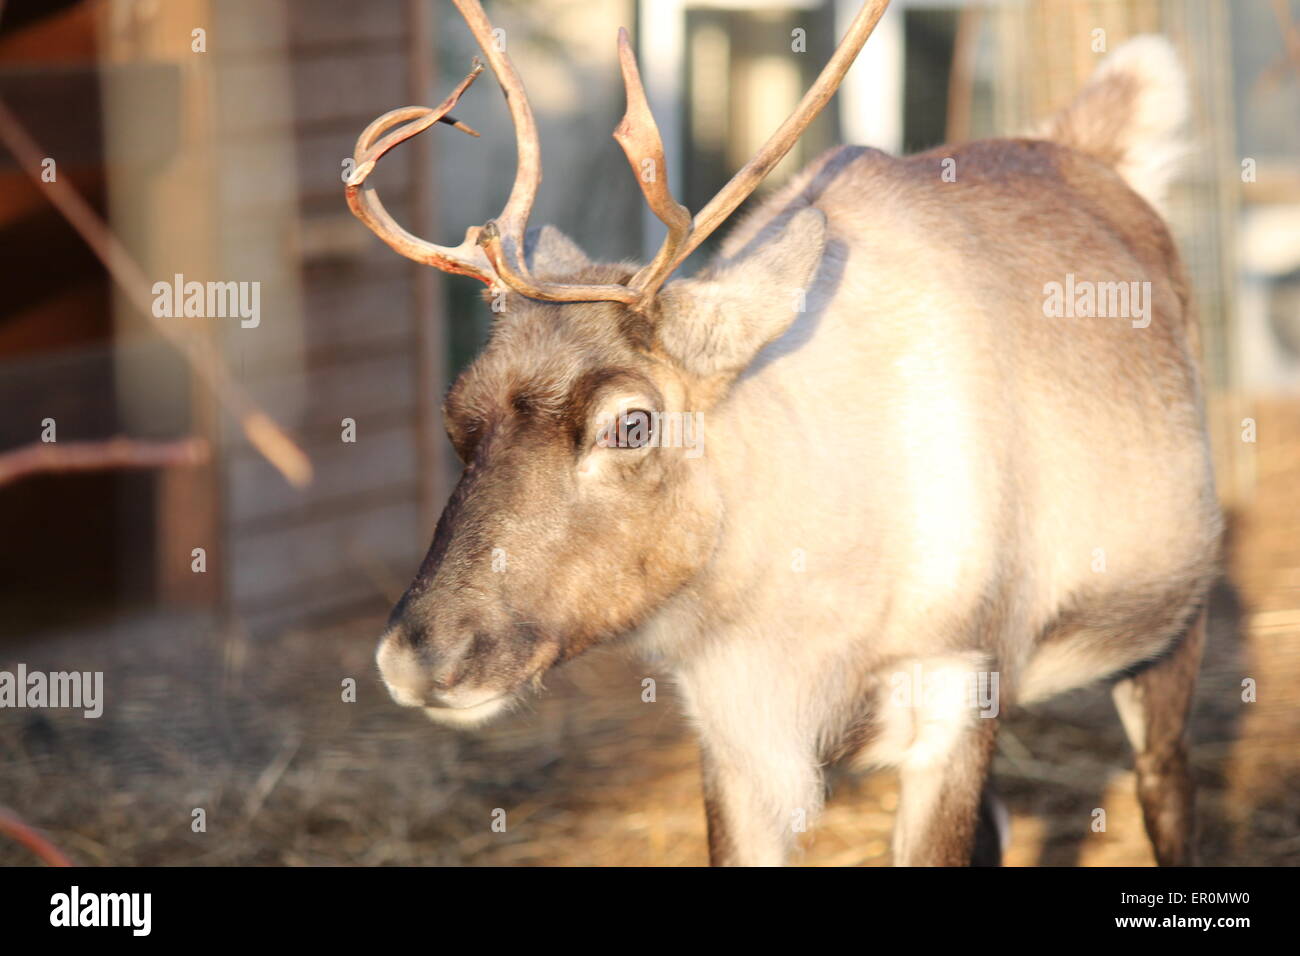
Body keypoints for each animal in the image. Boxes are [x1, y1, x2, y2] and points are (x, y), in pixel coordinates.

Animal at [350, 0, 1221, 866]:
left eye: (631, 422)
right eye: (456, 411)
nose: (418, 656)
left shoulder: (957, 689)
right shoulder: (731, 731)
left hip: (1172, 631)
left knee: (1167, 786)